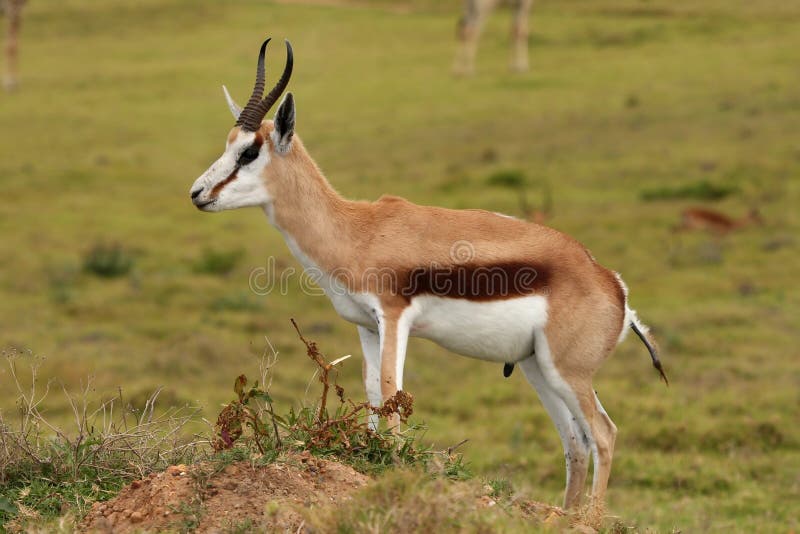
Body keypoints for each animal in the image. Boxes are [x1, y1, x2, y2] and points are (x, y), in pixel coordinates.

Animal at [189, 39, 667, 514]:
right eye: (229, 143)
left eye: (249, 151)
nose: (197, 193)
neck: (358, 230)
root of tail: (613, 286)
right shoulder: (367, 326)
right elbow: (373, 395)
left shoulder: (394, 317)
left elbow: (391, 394)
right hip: (538, 368)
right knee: (576, 442)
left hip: (567, 373)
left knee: (604, 434)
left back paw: (592, 516)